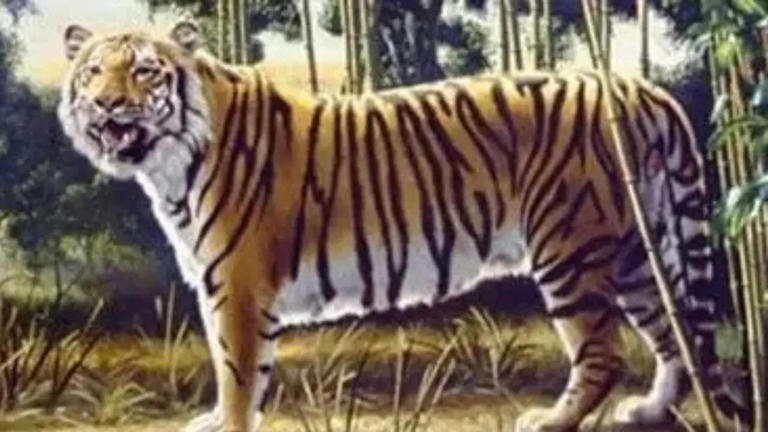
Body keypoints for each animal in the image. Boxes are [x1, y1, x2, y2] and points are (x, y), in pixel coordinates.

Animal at [57, 19, 748, 432]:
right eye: (92, 71)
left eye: (144, 70)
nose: (105, 105)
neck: (167, 165)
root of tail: (638, 88)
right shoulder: (219, 282)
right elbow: (242, 371)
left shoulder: (237, 285)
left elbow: (237, 369)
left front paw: (226, 423)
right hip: (636, 249)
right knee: (676, 331)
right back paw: (649, 410)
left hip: (571, 250)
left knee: (603, 353)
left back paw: (550, 421)